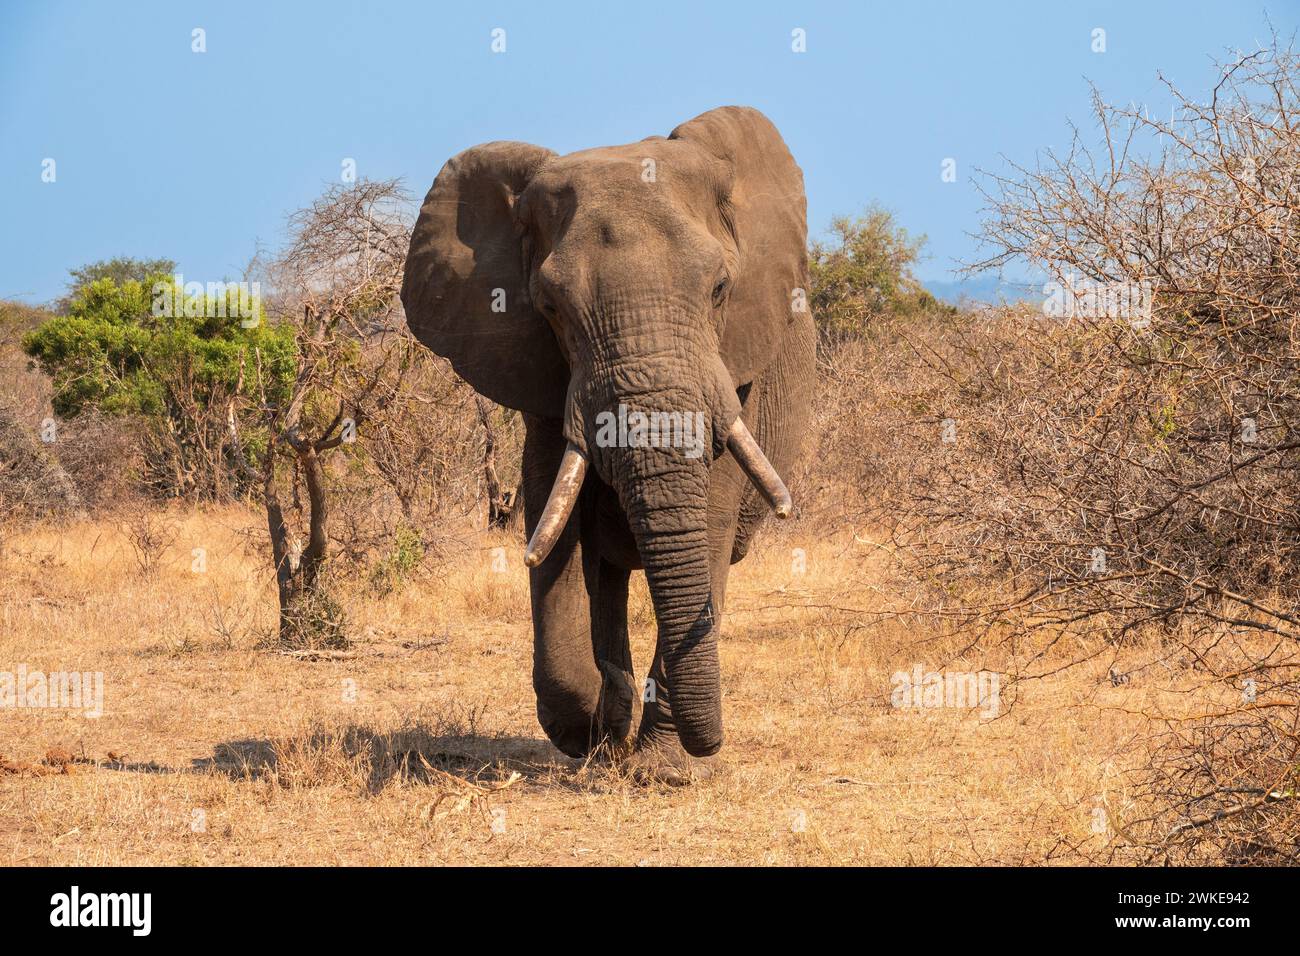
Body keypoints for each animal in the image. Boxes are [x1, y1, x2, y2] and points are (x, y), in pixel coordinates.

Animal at [401, 106, 815, 783]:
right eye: (550, 307)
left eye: (720, 289)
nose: (710, 746)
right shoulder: (545, 378)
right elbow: (552, 514)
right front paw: (593, 727)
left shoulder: (735, 376)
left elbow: (709, 517)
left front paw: (663, 768)